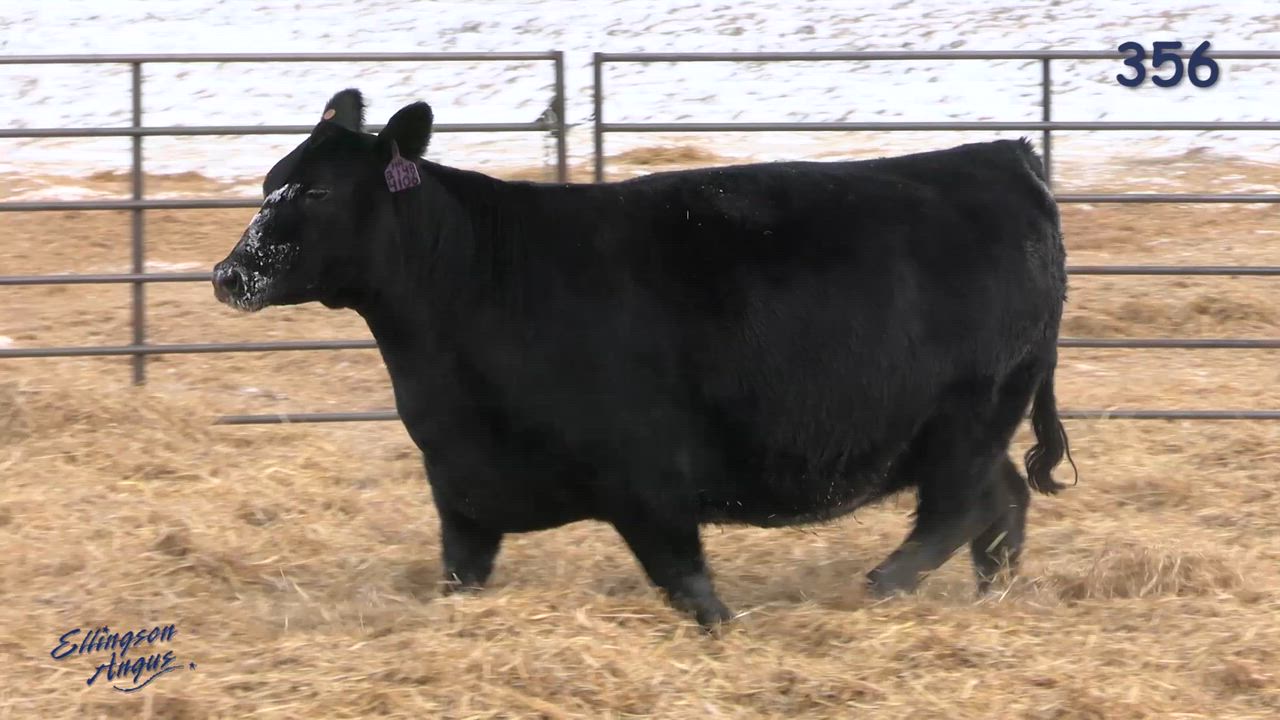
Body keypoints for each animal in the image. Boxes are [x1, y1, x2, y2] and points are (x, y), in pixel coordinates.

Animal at [212, 88, 1075, 629]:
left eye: (317, 192)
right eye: (271, 181)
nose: (229, 273)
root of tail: (1006, 158)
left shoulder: (650, 478)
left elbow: (690, 586)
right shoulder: (463, 491)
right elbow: (460, 576)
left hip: (972, 410)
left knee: (956, 509)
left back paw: (881, 587)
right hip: (964, 426)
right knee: (998, 504)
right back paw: (990, 598)